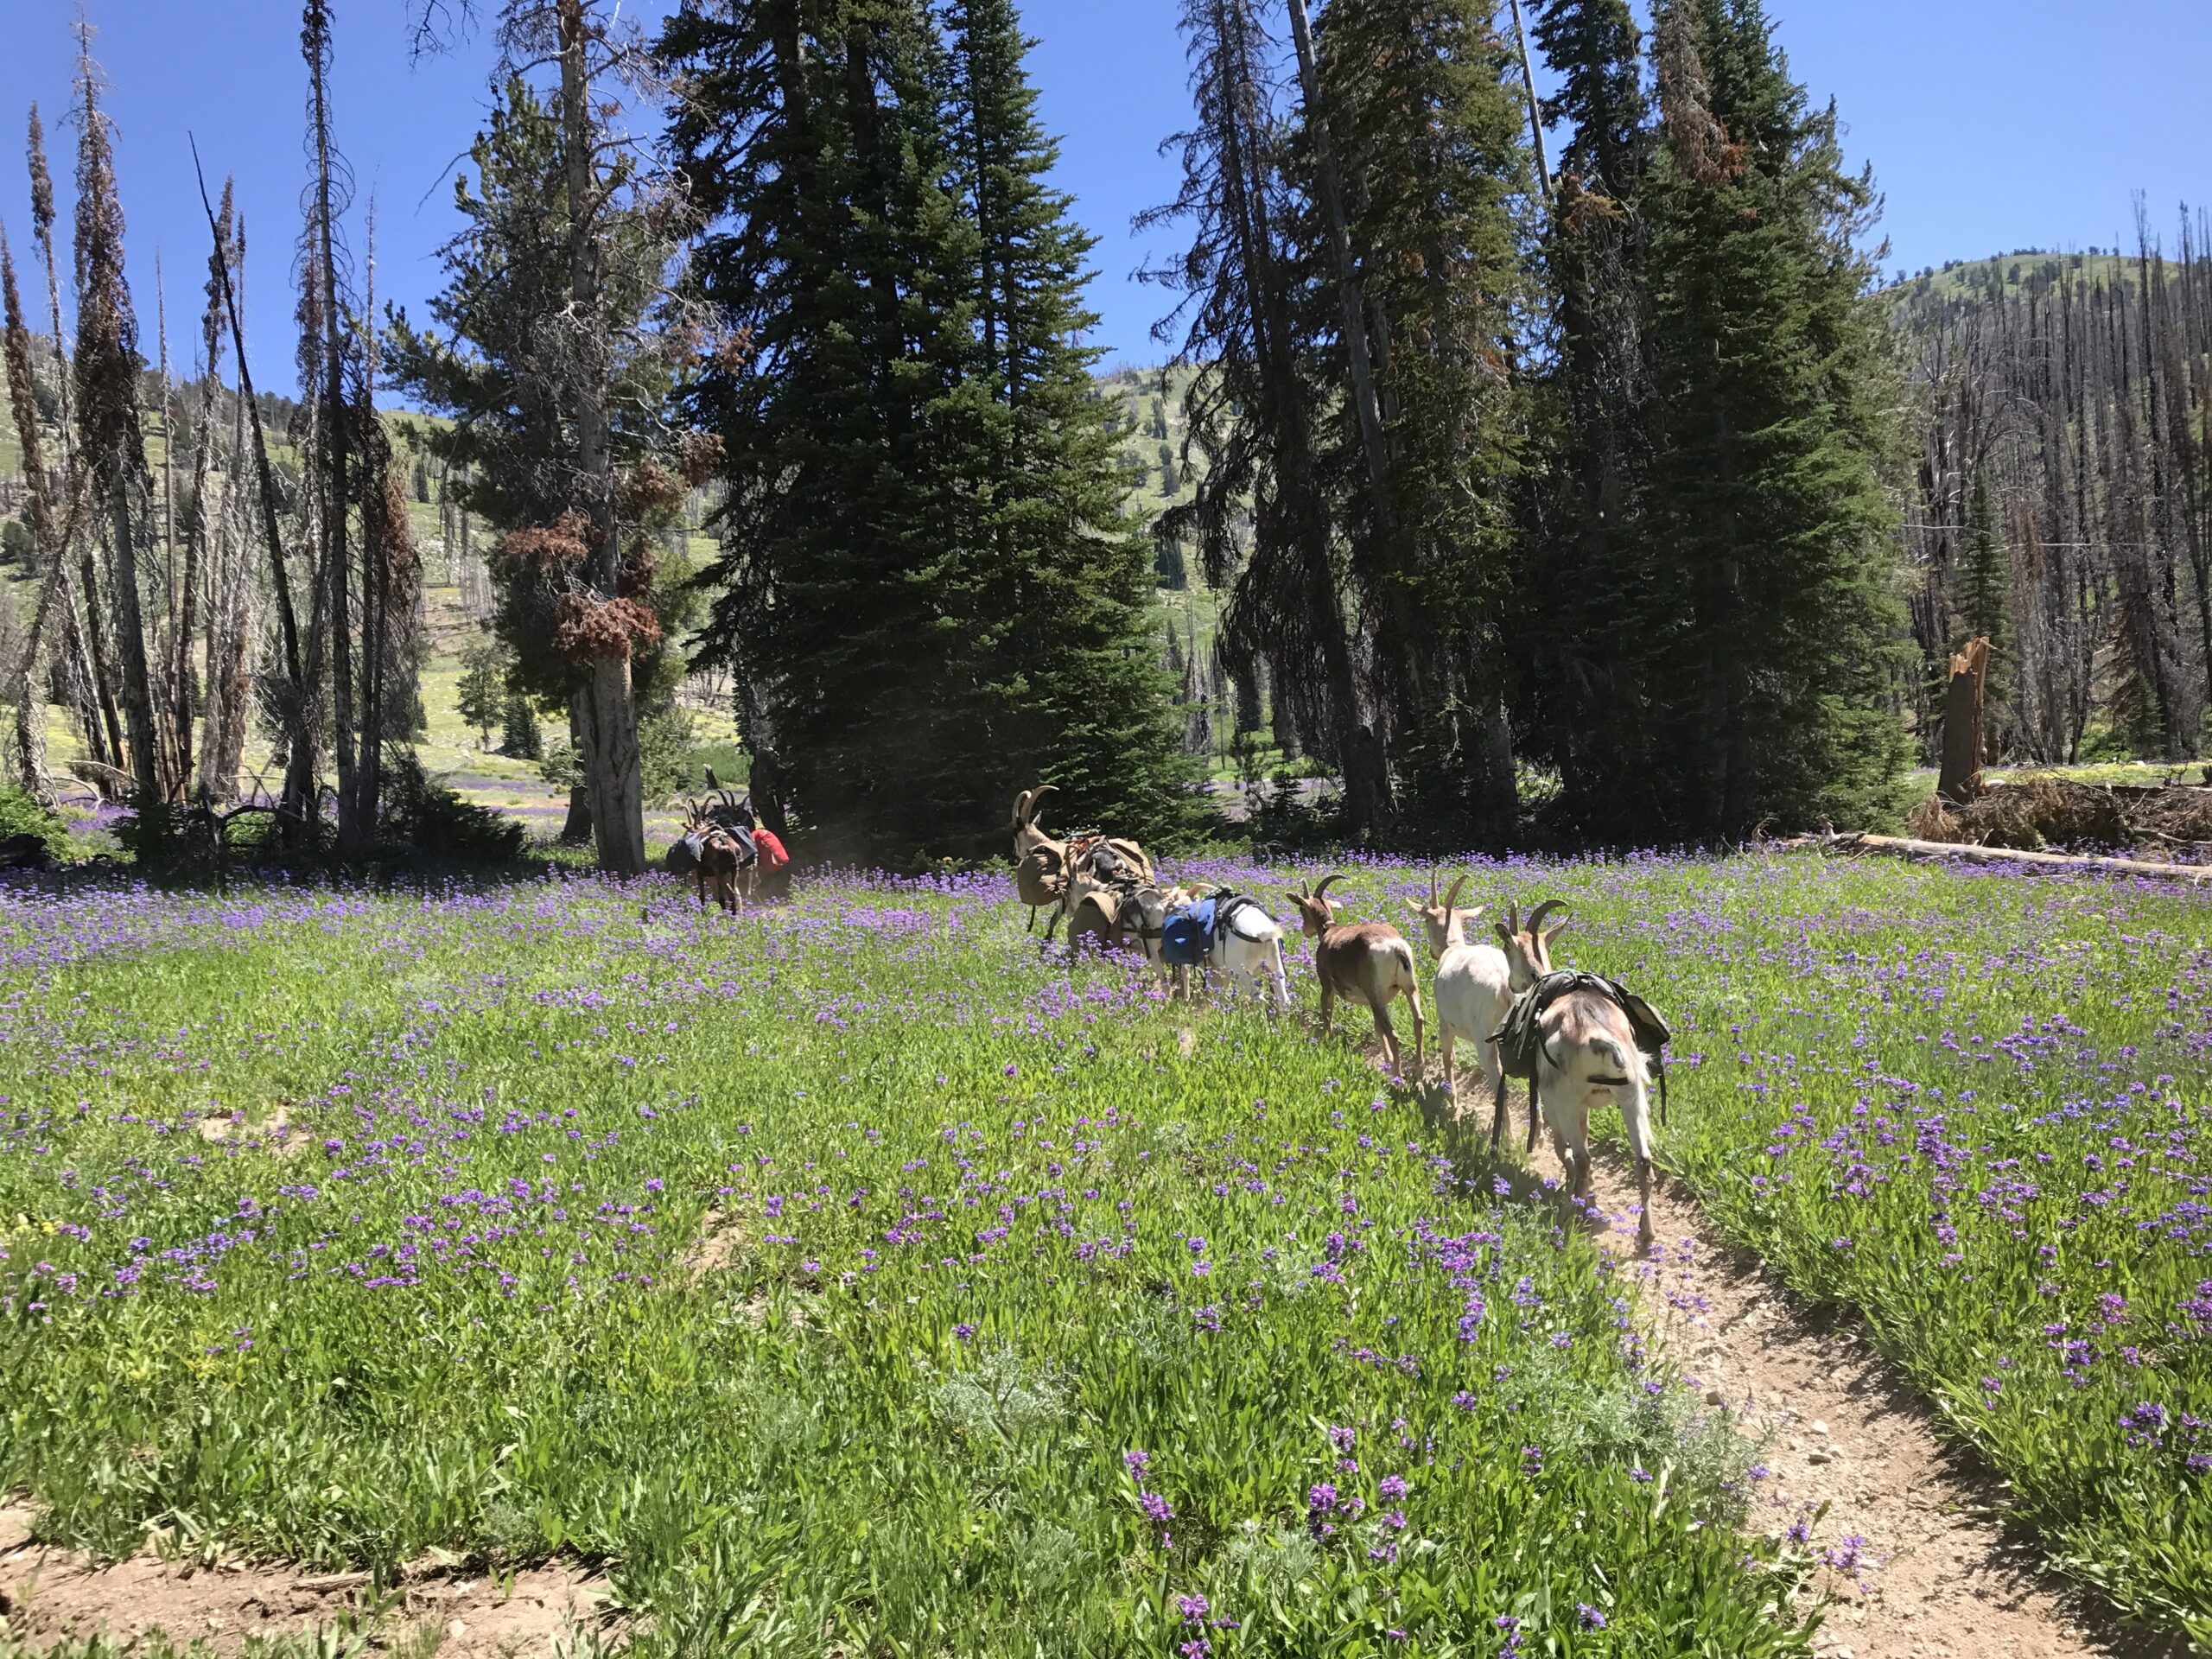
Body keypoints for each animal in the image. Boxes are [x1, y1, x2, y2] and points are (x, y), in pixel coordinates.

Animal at [1284, 873, 1424, 1075]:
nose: (1305, 930)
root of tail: (1396, 948)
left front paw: (1328, 1042)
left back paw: (1397, 1075)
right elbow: (1377, 1028)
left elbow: (1327, 1015)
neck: (1329, 932)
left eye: (1302, 908)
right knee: (1418, 1021)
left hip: (1376, 994)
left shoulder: (1327, 986)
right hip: (1408, 987)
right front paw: (1387, 1061)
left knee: (1393, 1035)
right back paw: (1419, 1067)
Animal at [1411, 870, 1511, 1115]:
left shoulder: (1445, 1020)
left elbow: (1449, 1056)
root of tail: (1505, 986)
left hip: (1486, 1036)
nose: (1432, 952)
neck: (1454, 947)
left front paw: (1452, 1100)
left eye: (1426, 920)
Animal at [1493, 900, 1657, 1253]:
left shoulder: (1553, 1100)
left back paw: (1573, 1216)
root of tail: (1600, 1038)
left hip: (1566, 1098)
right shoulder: (1585, 1106)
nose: (1512, 985)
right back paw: (1646, 1234)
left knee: (1583, 1158)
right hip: (1632, 1096)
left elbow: (1561, 1146)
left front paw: (1572, 1189)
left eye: (1507, 947)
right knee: (1644, 1160)